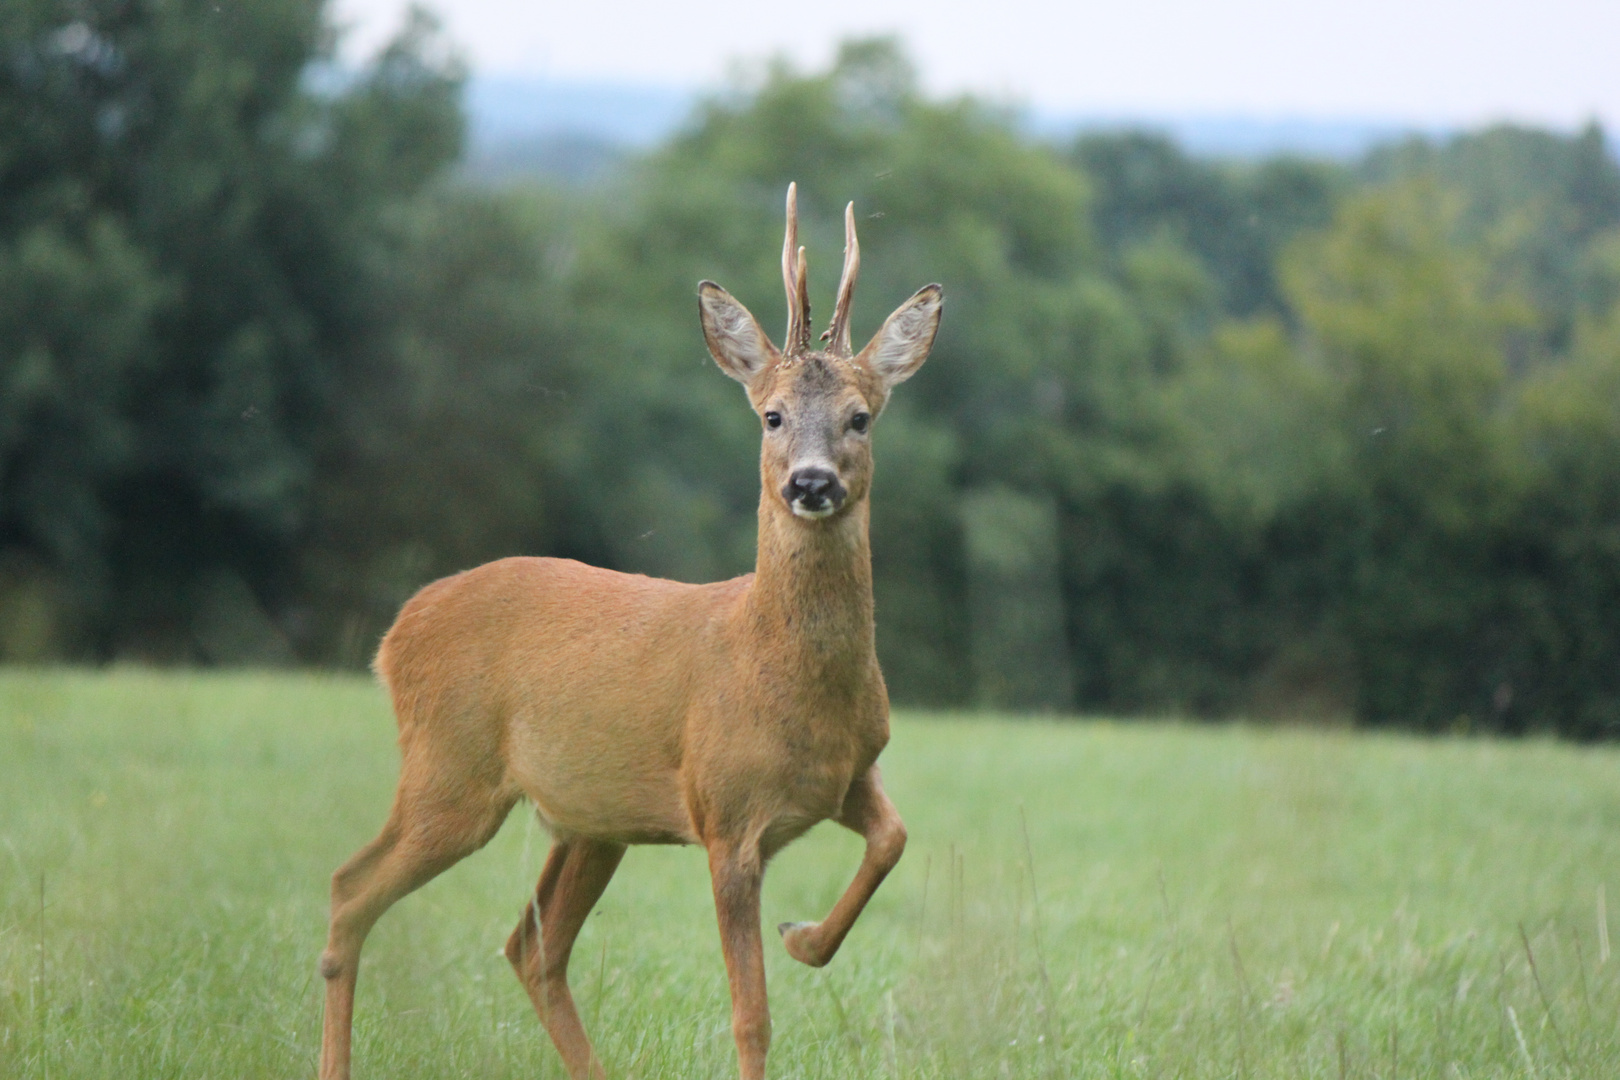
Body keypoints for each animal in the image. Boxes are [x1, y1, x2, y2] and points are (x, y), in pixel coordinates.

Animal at [317, 186, 946, 1080]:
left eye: (861, 418)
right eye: (772, 415)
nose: (811, 483)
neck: (777, 670)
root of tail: (397, 631)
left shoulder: (847, 774)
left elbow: (893, 839)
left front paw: (801, 937)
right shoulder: (725, 812)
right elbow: (751, 1016)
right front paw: (787, 952)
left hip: (590, 816)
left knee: (530, 946)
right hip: (452, 770)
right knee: (351, 889)